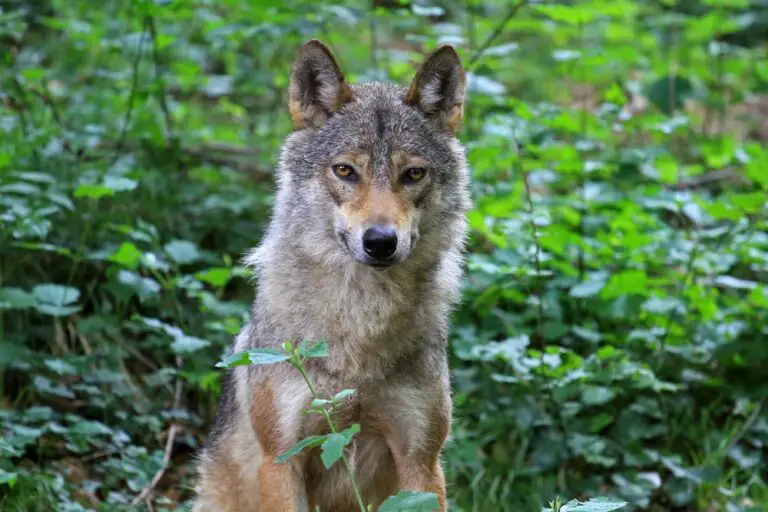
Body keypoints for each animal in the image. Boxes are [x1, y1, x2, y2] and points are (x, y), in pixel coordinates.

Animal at [193, 39, 470, 512]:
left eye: (413, 173)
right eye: (345, 170)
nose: (381, 241)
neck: (360, 329)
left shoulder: (422, 460)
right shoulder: (281, 459)